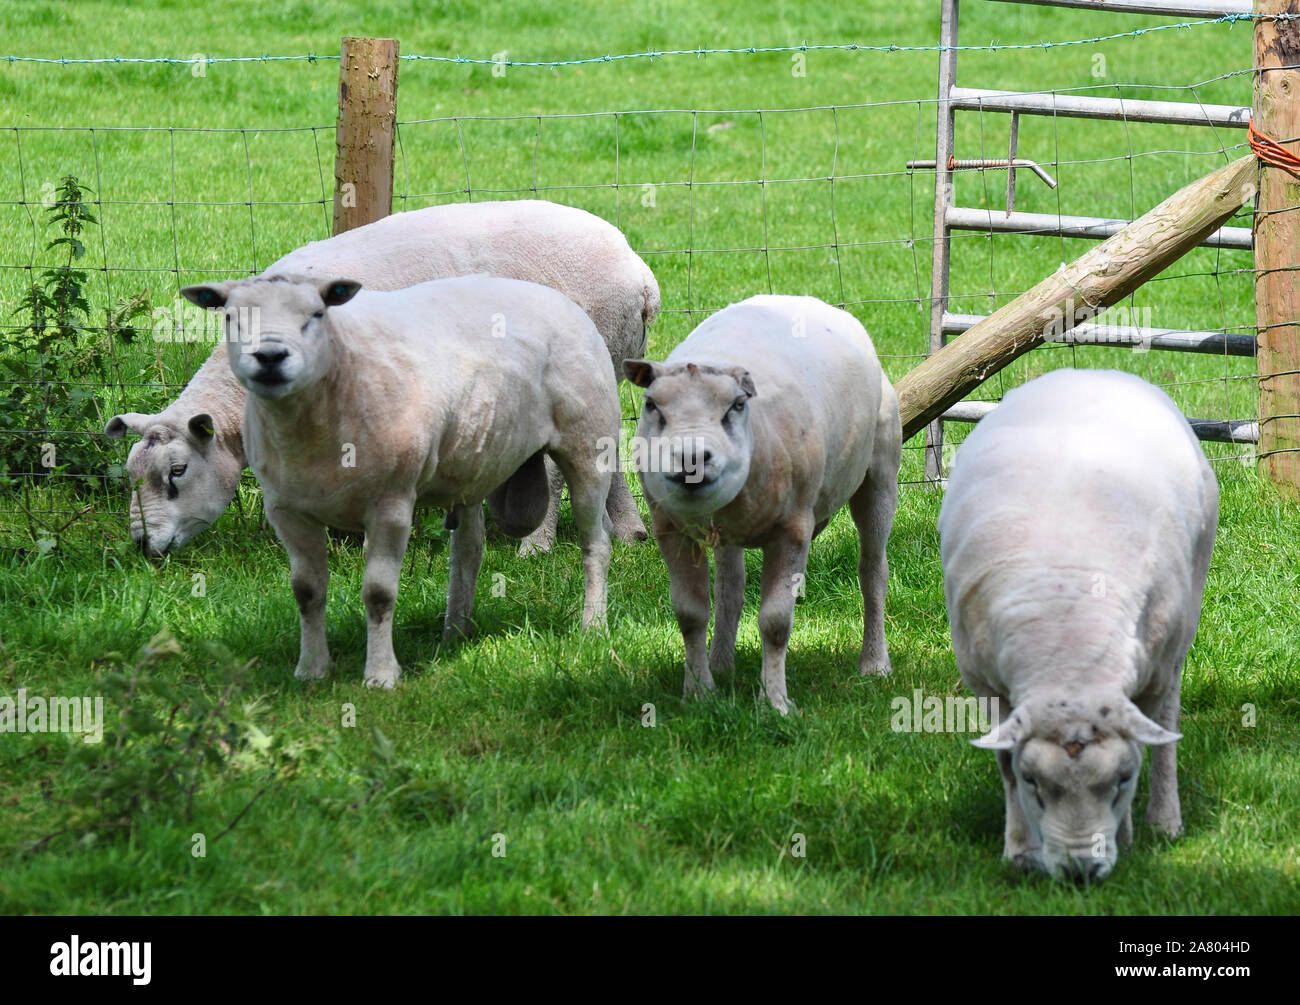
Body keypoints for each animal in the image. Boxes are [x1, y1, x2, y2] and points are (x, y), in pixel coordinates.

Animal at [107, 198, 665, 553]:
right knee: (603, 445)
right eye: (130, 473)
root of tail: (640, 276)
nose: (143, 547)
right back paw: (629, 533)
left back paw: (536, 546)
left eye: (177, 472)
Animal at [179, 270, 618, 686]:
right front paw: (312, 669)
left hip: (589, 447)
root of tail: (558, 298)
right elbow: (306, 591)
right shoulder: (284, 510)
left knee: (595, 543)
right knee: (469, 550)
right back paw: (455, 631)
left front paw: (381, 675)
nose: (270, 356)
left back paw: (593, 626)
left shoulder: (390, 504)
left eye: (317, 315)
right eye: (231, 318)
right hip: (474, 463)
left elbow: (379, 593)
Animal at [624, 293, 899, 717]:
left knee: (873, 572)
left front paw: (774, 702)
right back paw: (721, 663)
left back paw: (874, 662)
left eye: (737, 405)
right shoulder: (670, 528)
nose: (691, 459)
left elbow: (775, 622)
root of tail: (806, 299)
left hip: (881, 472)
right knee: (731, 588)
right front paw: (698, 692)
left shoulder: (793, 528)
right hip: (728, 529)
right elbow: (690, 613)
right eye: (652, 405)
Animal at [935, 366, 1216, 878]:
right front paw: (1020, 852)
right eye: (1034, 782)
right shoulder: (987, 684)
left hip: (1179, 633)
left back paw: (1165, 821)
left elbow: (1144, 744)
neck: (1067, 653)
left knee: (1167, 725)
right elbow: (1004, 765)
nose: (1081, 872)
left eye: (1121, 779)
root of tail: (1094, 370)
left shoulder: (1147, 679)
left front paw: (1126, 835)